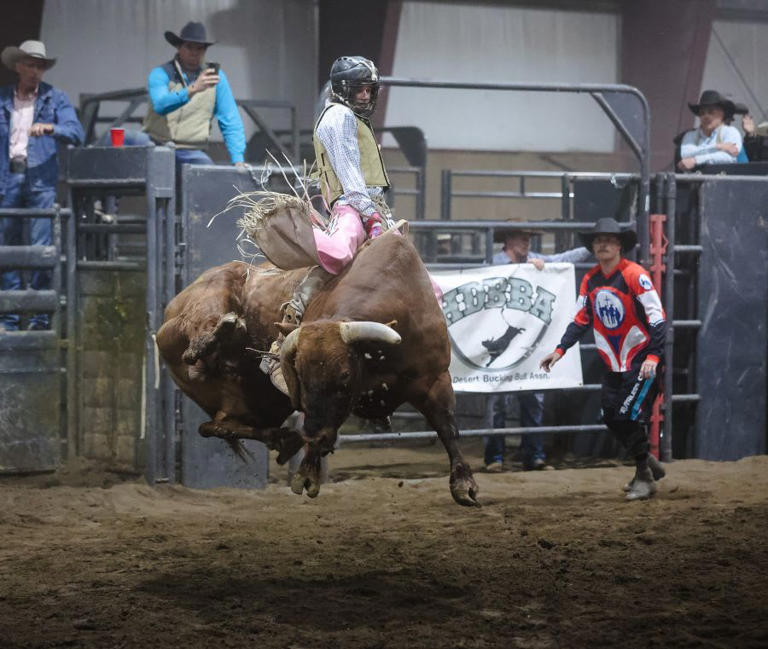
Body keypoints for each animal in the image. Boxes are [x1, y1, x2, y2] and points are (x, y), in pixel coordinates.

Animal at [156, 231, 479, 507]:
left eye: (345, 376)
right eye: (299, 374)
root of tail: (170, 309)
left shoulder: (434, 379)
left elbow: (447, 427)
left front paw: (464, 485)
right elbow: (322, 430)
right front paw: (308, 472)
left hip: (256, 404)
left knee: (215, 426)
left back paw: (283, 438)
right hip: (204, 307)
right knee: (202, 355)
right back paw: (216, 335)